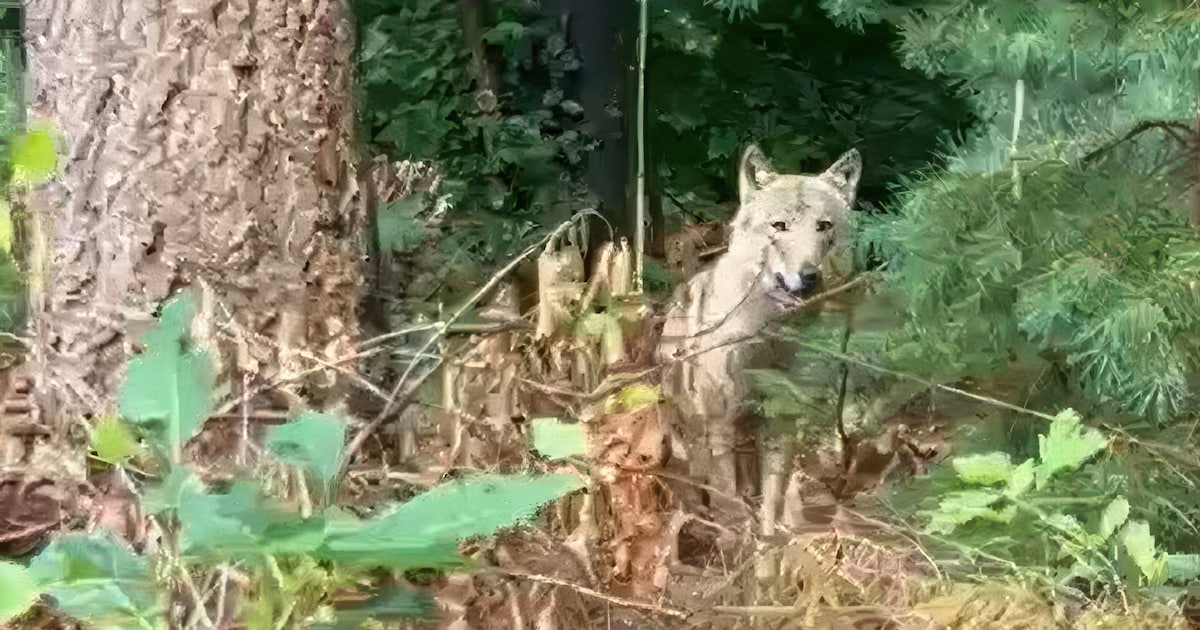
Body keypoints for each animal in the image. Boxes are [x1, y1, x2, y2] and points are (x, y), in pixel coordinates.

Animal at [657, 144, 862, 515]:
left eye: (823, 226)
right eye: (779, 226)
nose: (809, 275)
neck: (772, 336)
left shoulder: (782, 420)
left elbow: (773, 496)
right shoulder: (721, 421)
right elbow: (727, 497)